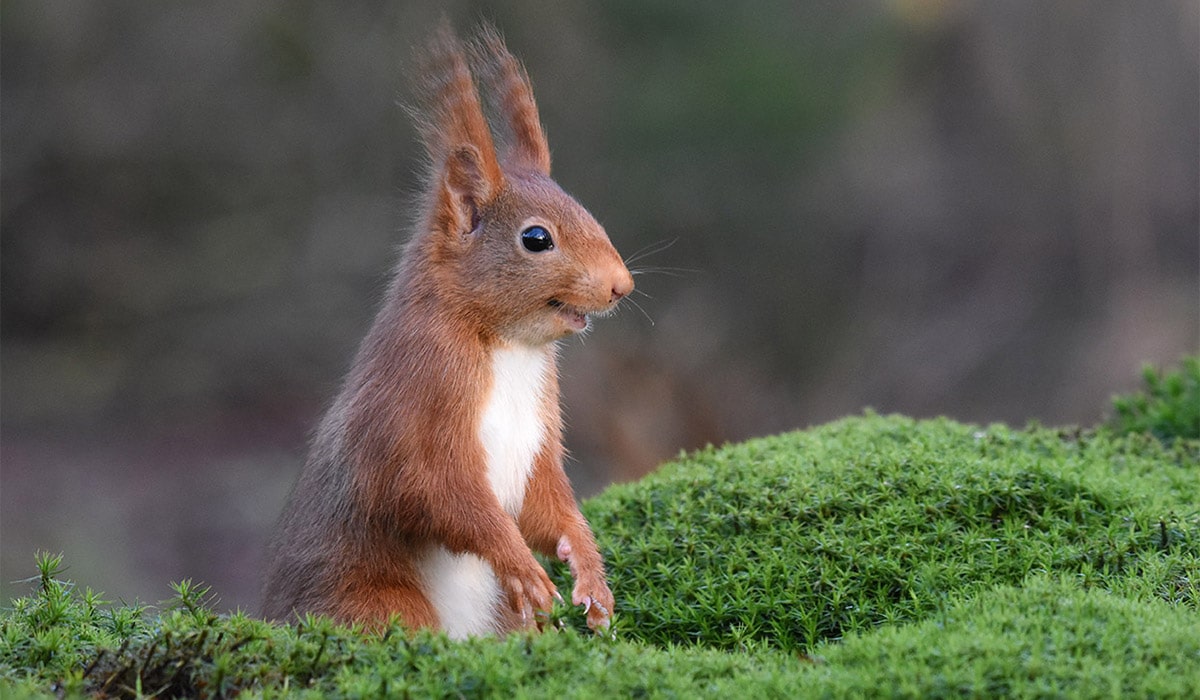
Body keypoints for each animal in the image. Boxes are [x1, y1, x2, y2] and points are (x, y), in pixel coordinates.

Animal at [260, 23, 631, 639]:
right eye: (536, 239)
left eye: (586, 209)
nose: (621, 286)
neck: (509, 346)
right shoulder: (417, 397)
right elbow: (432, 490)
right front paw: (522, 566)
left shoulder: (538, 436)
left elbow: (549, 503)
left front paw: (590, 574)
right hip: (377, 604)